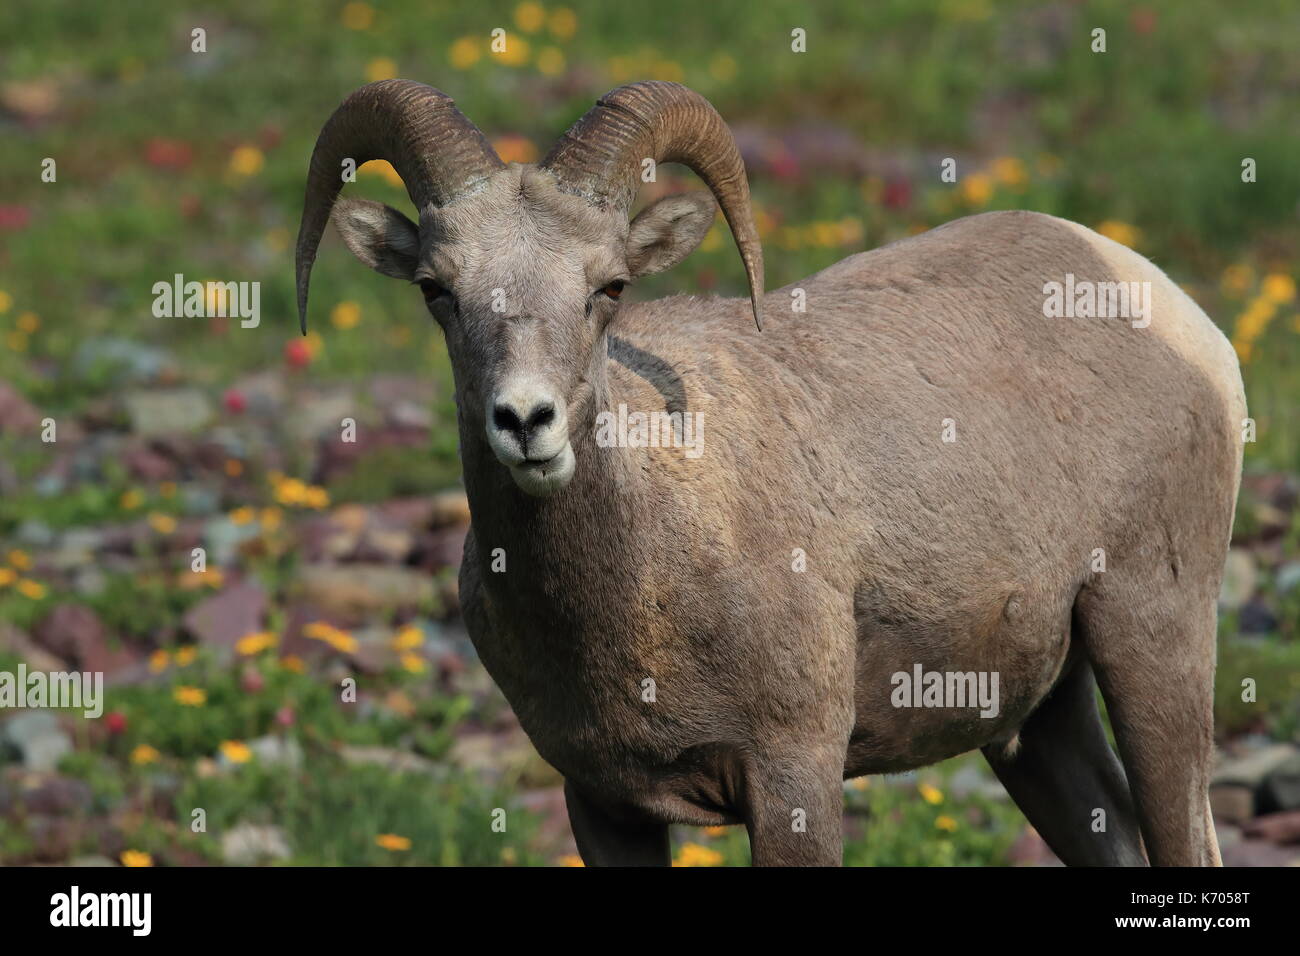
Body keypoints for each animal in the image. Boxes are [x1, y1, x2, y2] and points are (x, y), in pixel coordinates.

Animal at [295, 79, 1246, 866]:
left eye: (610, 286)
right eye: (436, 289)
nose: (526, 424)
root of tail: (1159, 303)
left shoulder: (793, 779)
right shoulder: (603, 806)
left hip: (1152, 642)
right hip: (1037, 721)